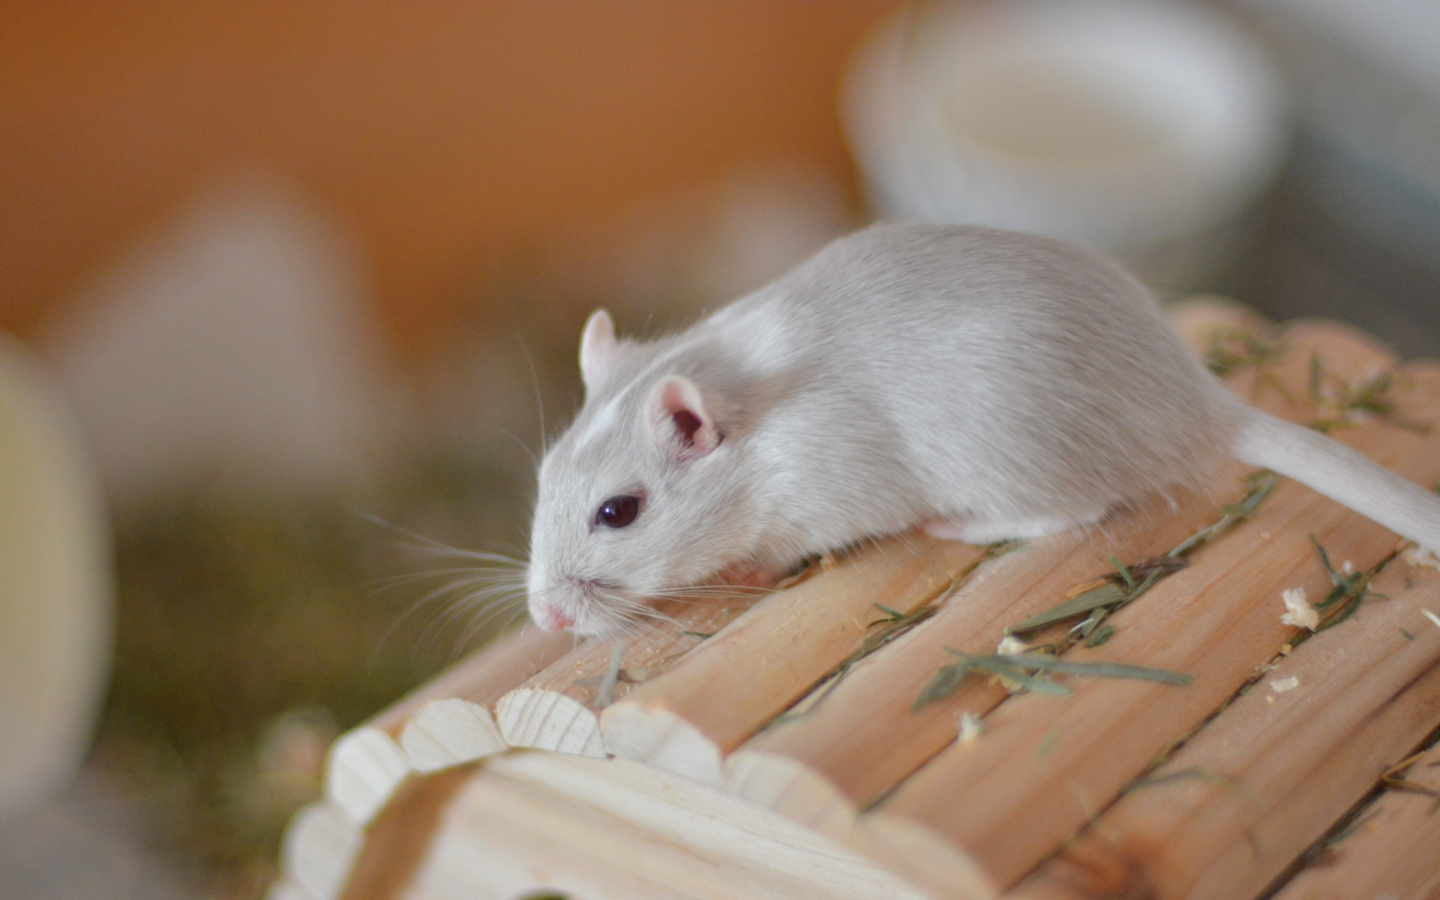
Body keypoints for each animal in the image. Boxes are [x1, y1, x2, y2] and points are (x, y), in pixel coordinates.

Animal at [525, 222, 1440, 635]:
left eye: (618, 513)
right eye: (540, 482)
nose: (547, 622)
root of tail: (1205, 407)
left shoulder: (823, 497)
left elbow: (781, 551)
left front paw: (747, 572)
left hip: (1008, 463)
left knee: (1070, 514)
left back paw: (955, 527)